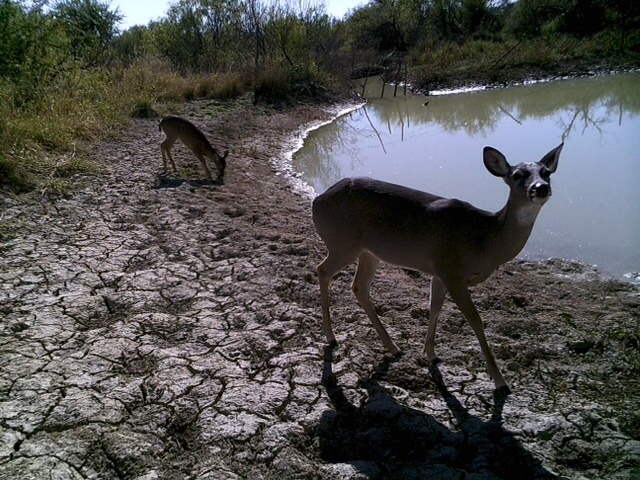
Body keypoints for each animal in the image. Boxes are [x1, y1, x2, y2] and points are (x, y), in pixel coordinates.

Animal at [312, 143, 563, 393]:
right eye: (517, 174)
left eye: (546, 173)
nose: (541, 188)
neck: (486, 240)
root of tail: (318, 201)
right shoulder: (452, 270)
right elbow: (475, 319)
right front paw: (500, 381)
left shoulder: (440, 272)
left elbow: (434, 307)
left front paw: (431, 354)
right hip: (342, 243)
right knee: (322, 270)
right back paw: (331, 337)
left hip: (369, 252)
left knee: (359, 287)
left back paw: (392, 346)